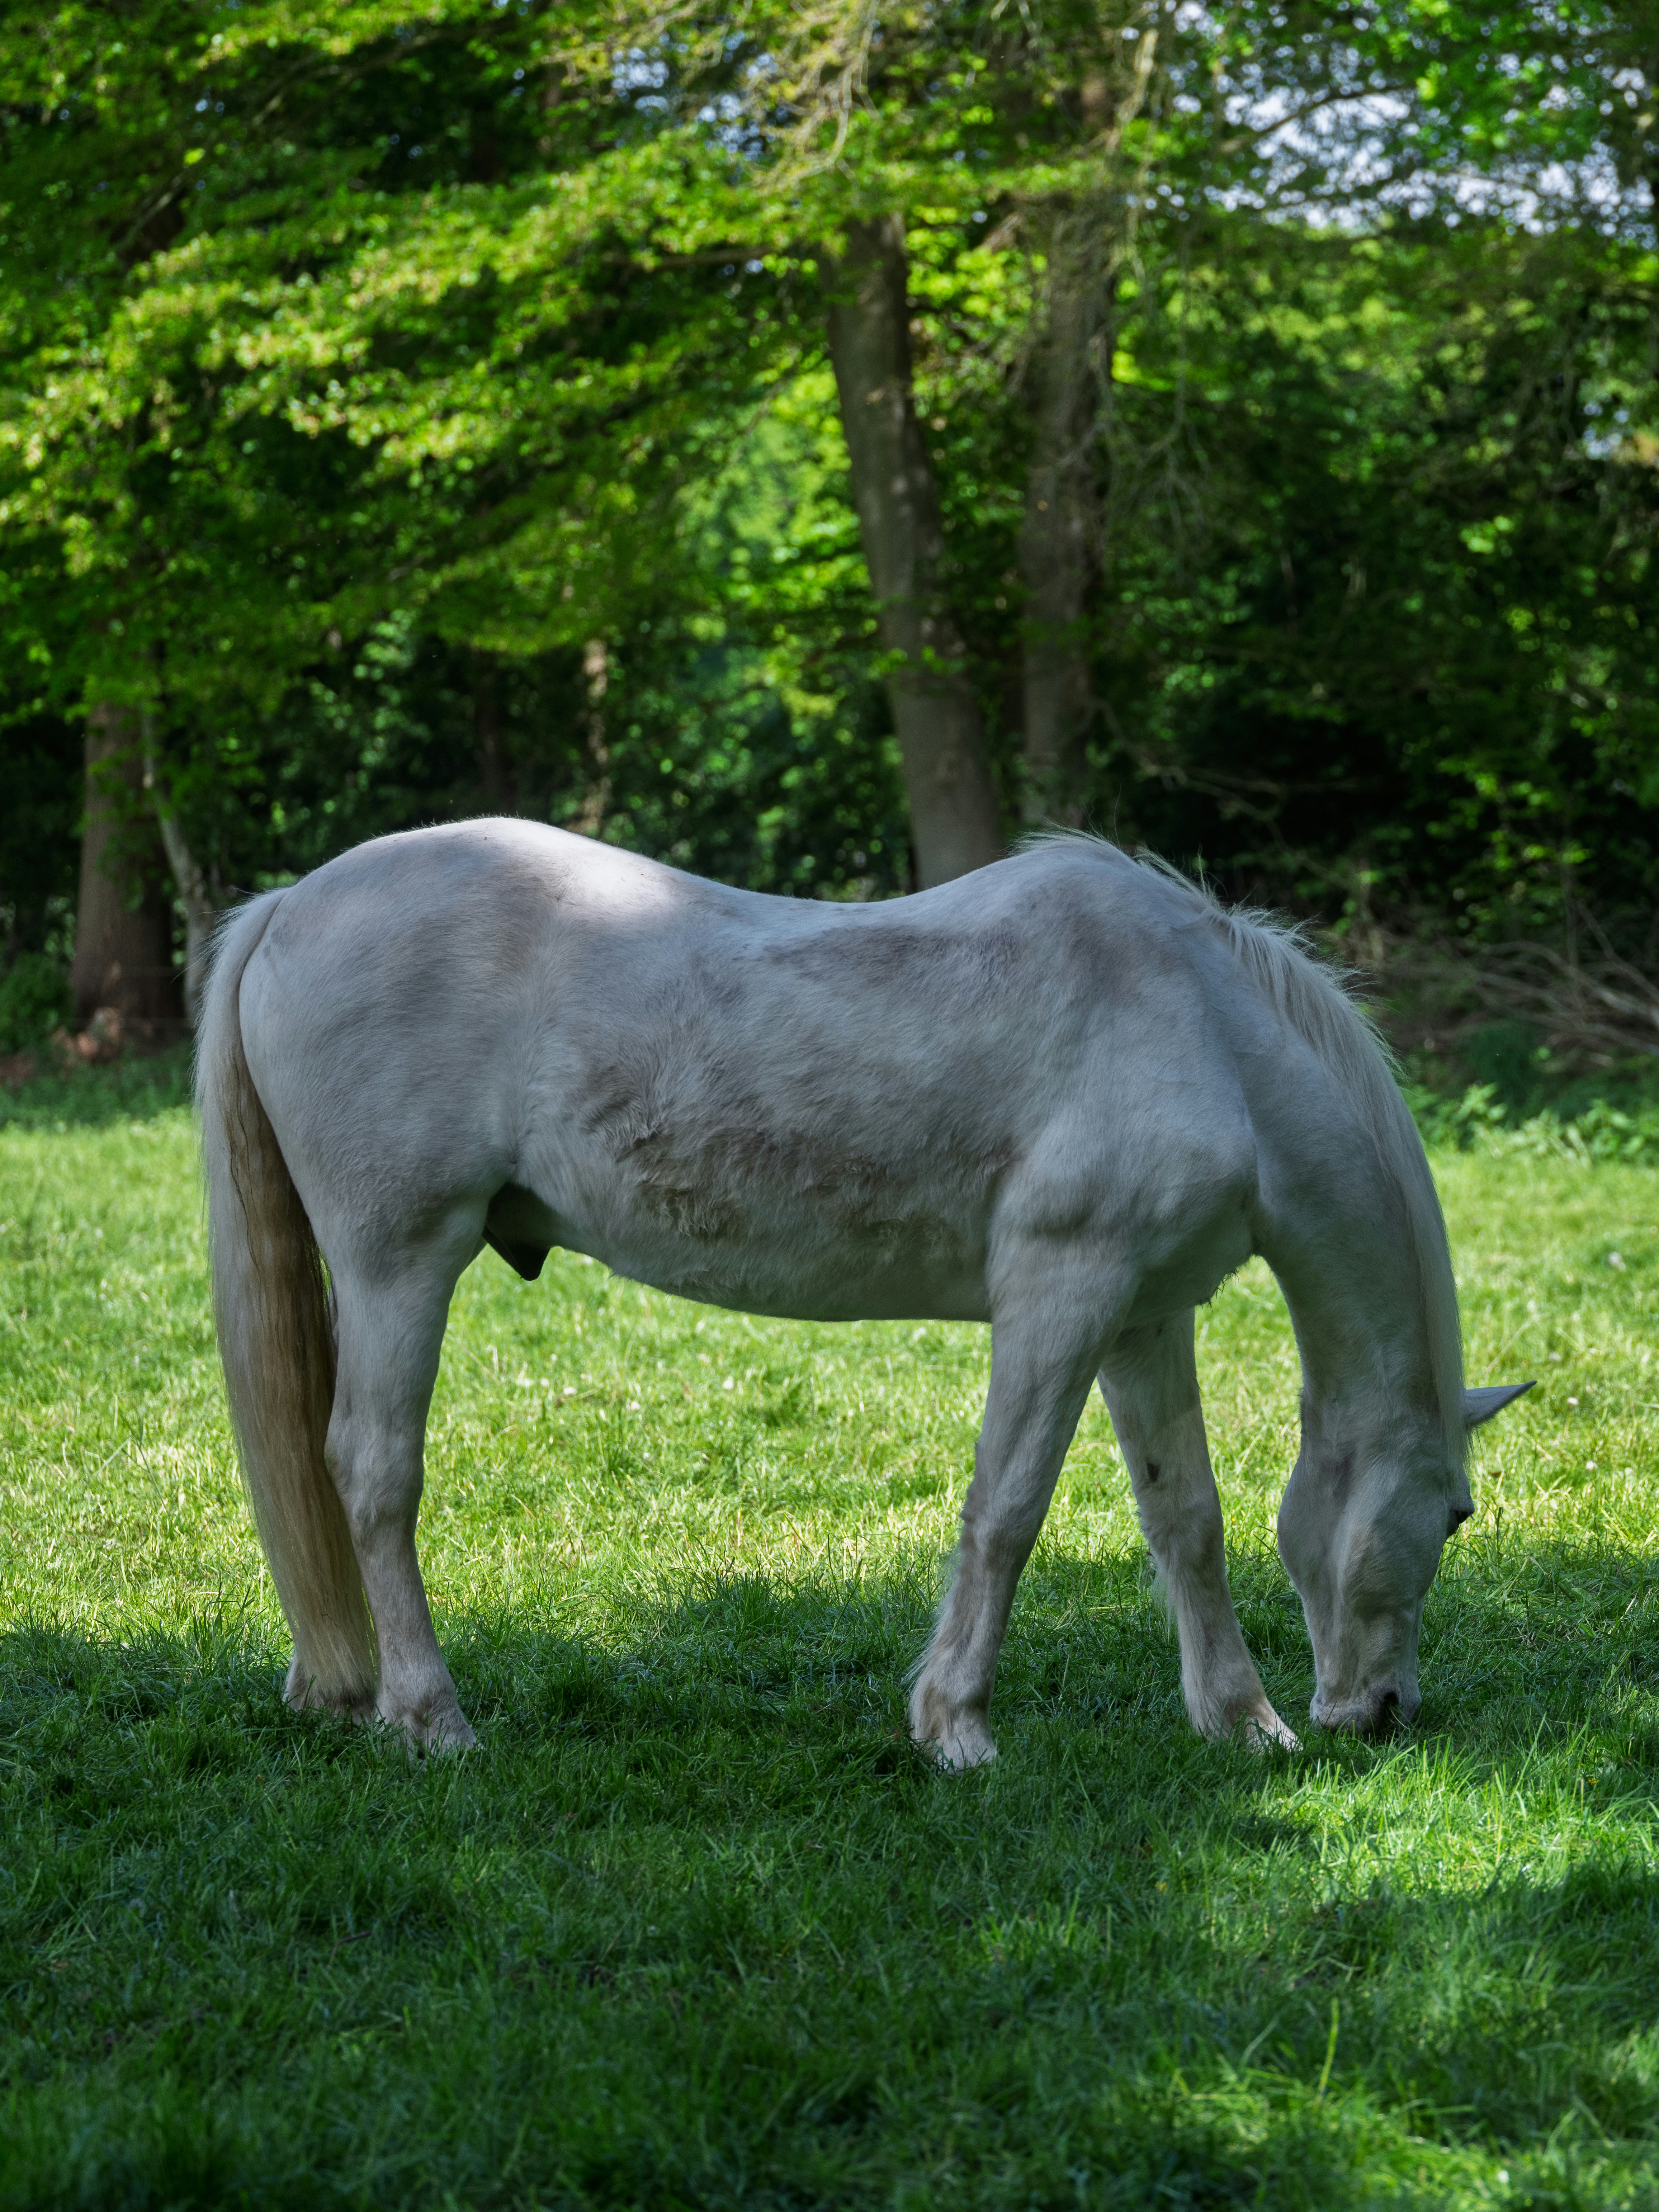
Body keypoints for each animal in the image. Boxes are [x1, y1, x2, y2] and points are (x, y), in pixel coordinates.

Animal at [196, 821, 1529, 1765]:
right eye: (1458, 1513)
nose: (1383, 1712)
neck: (1201, 1025)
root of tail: (287, 906)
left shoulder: (1145, 1313)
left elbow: (1183, 1516)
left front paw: (1242, 1723)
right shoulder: (1062, 1290)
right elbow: (1007, 1508)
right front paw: (957, 1728)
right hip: (397, 1262)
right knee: (373, 1472)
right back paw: (433, 1718)